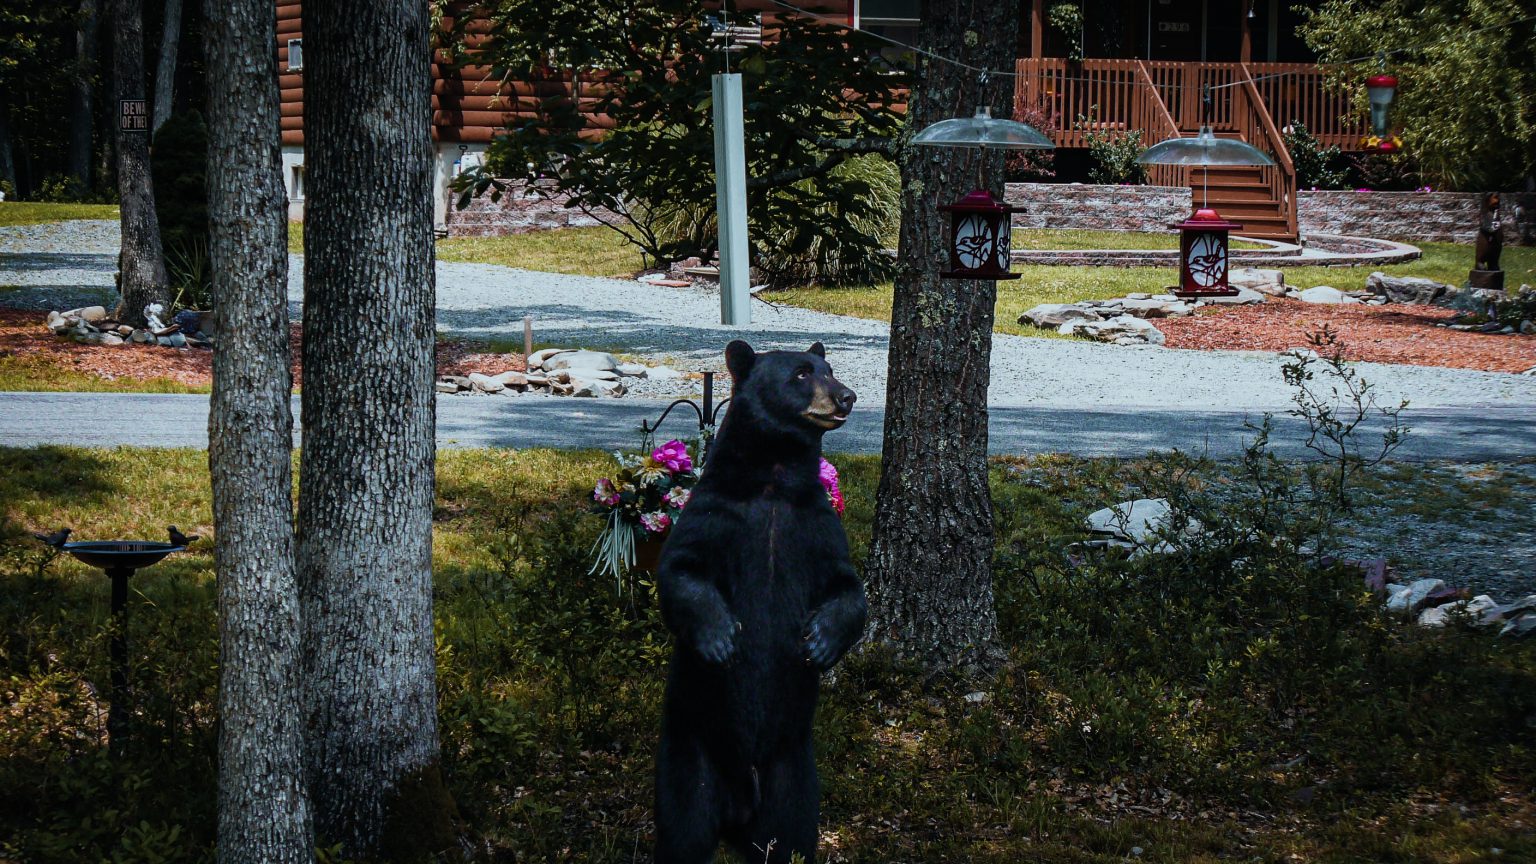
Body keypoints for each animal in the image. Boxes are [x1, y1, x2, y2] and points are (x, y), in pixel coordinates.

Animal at [653, 340, 866, 864]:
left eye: (829, 368)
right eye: (802, 373)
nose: (847, 396)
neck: (774, 478)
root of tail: (740, 803)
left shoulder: (818, 525)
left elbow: (847, 588)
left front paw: (820, 642)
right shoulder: (714, 512)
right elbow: (681, 571)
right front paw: (721, 639)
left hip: (794, 769)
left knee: (791, 834)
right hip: (690, 749)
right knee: (684, 826)